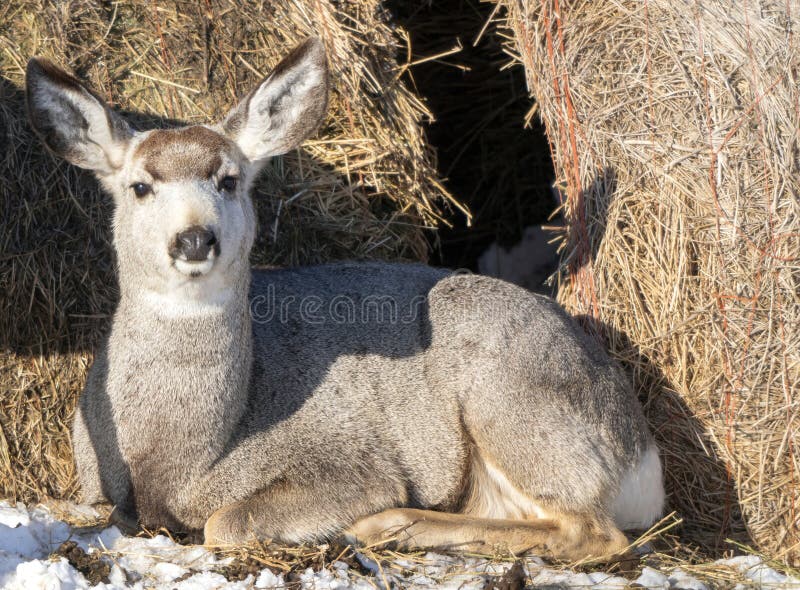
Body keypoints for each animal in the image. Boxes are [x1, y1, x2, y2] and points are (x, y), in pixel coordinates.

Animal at [25, 38, 664, 561]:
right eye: (139, 186)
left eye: (229, 180)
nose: (193, 239)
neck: (177, 461)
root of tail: (644, 452)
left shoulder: (350, 464)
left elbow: (224, 522)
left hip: (514, 399)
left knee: (598, 533)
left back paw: (387, 526)